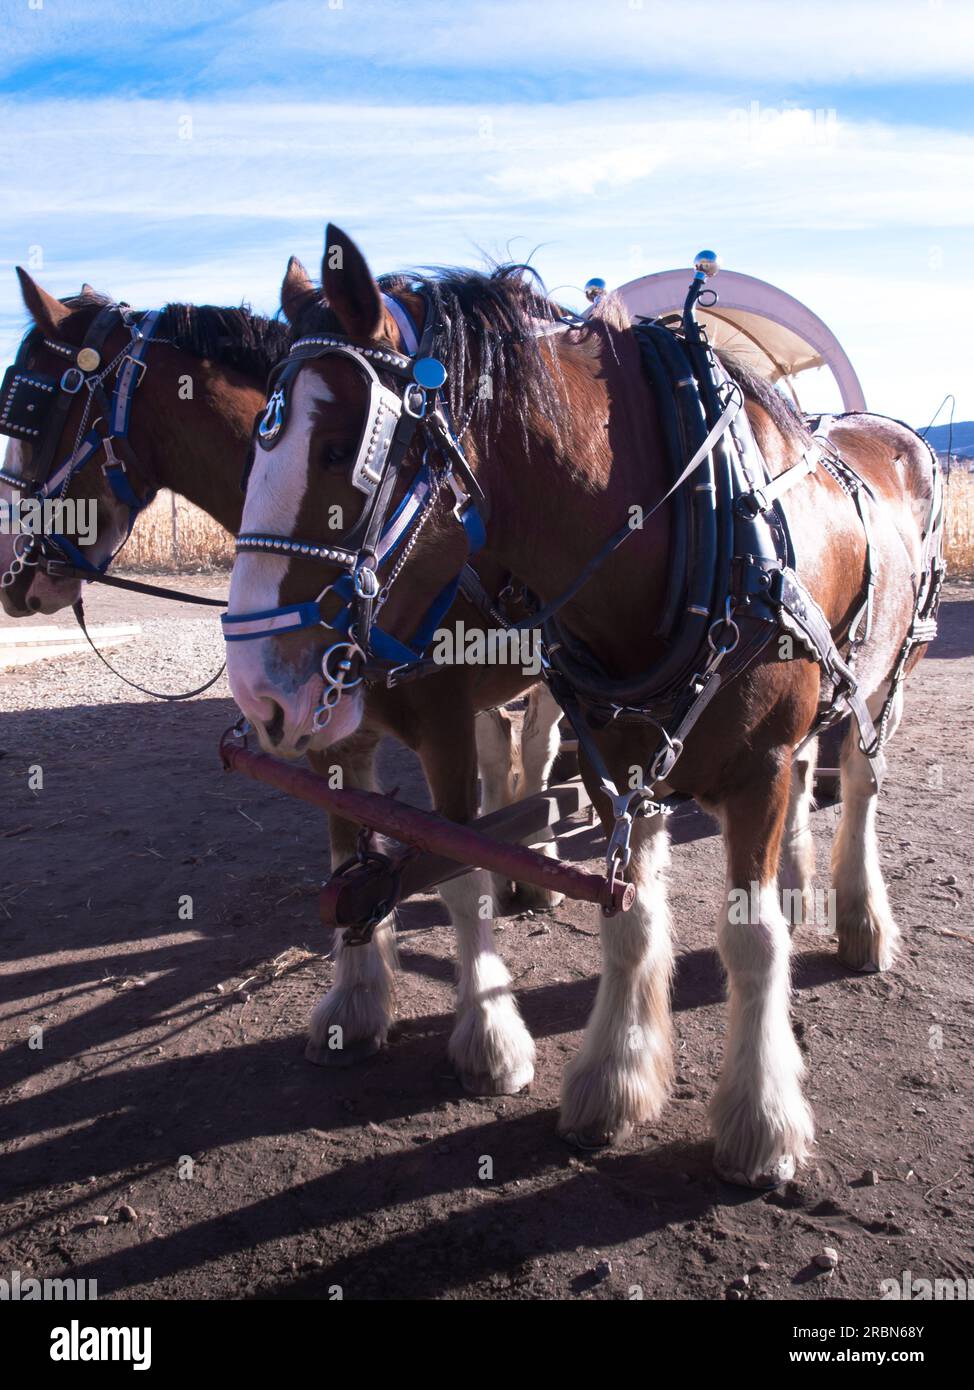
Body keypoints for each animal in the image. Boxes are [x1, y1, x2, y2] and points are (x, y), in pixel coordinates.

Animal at [0, 270, 563, 1088]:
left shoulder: (443, 728)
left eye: (34, 411)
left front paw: (490, 1037)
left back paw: (540, 860)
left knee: (545, 749)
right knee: (508, 752)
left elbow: (457, 867)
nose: (12, 577)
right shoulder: (325, 729)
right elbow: (345, 852)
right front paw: (355, 1005)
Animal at [224, 224, 943, 1186]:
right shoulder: (617, 759)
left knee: (859, 789)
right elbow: (627, 920)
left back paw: (861, 920)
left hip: (886, 679)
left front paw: (760, 1123)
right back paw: (799, 890)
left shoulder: (745, 766)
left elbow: (748, 939)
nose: (258, 685)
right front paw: (612, 1082)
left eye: (341, 446)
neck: (692, 523)